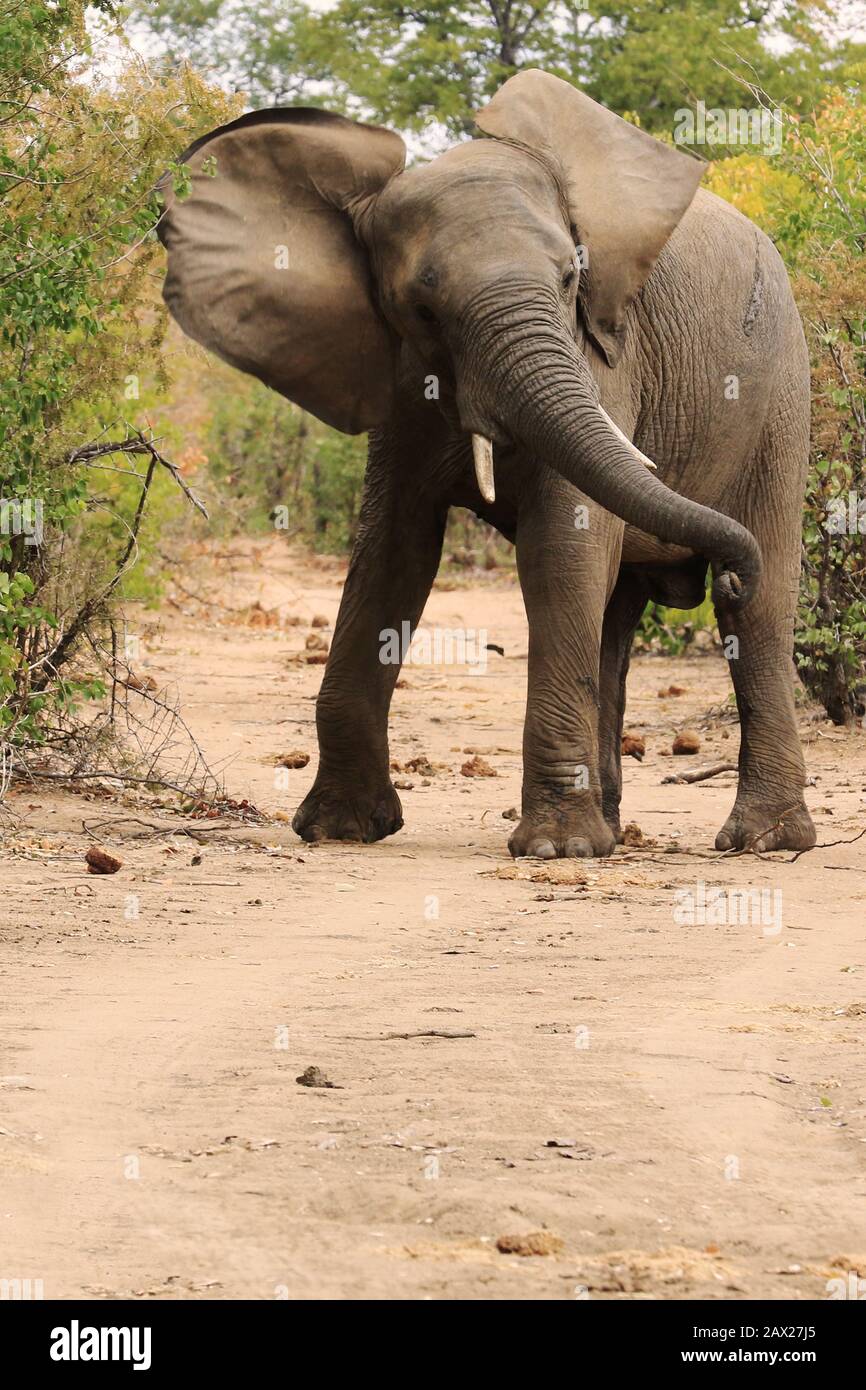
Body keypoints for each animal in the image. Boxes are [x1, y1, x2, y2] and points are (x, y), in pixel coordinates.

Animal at [157, 68, 817, 859]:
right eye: (422, 308)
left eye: (571, 281)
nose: (727, 563)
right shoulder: (403, 380)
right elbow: (392, 553)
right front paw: (340, 830)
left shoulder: (602, 362)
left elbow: (560, 548)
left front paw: (556, 851)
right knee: (617, 616)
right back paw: (617, 832)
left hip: (781, 392)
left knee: (757, 606)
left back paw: (762, 840)